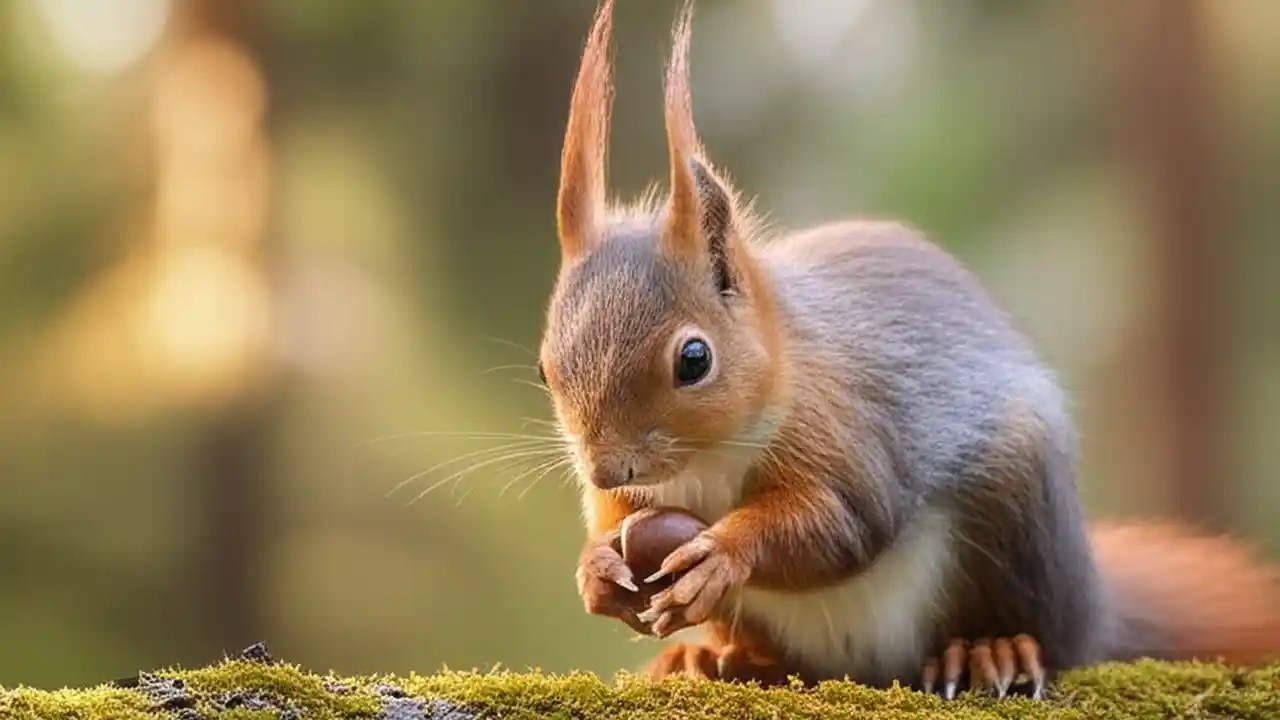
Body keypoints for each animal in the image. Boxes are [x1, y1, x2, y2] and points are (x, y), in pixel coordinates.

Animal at [538, 0, 1280, 698]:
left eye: (694, 360)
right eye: (546, 369)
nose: (605, 468)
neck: (712, 457)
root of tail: (1096, 607)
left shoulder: (847, 427)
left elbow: (840, 522)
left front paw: (723, 552)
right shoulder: (640, 496)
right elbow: (614, 521)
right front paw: (595, 567)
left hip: (1019, 519)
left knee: (1039, 631)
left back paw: (991, 651)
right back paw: (714, 657)